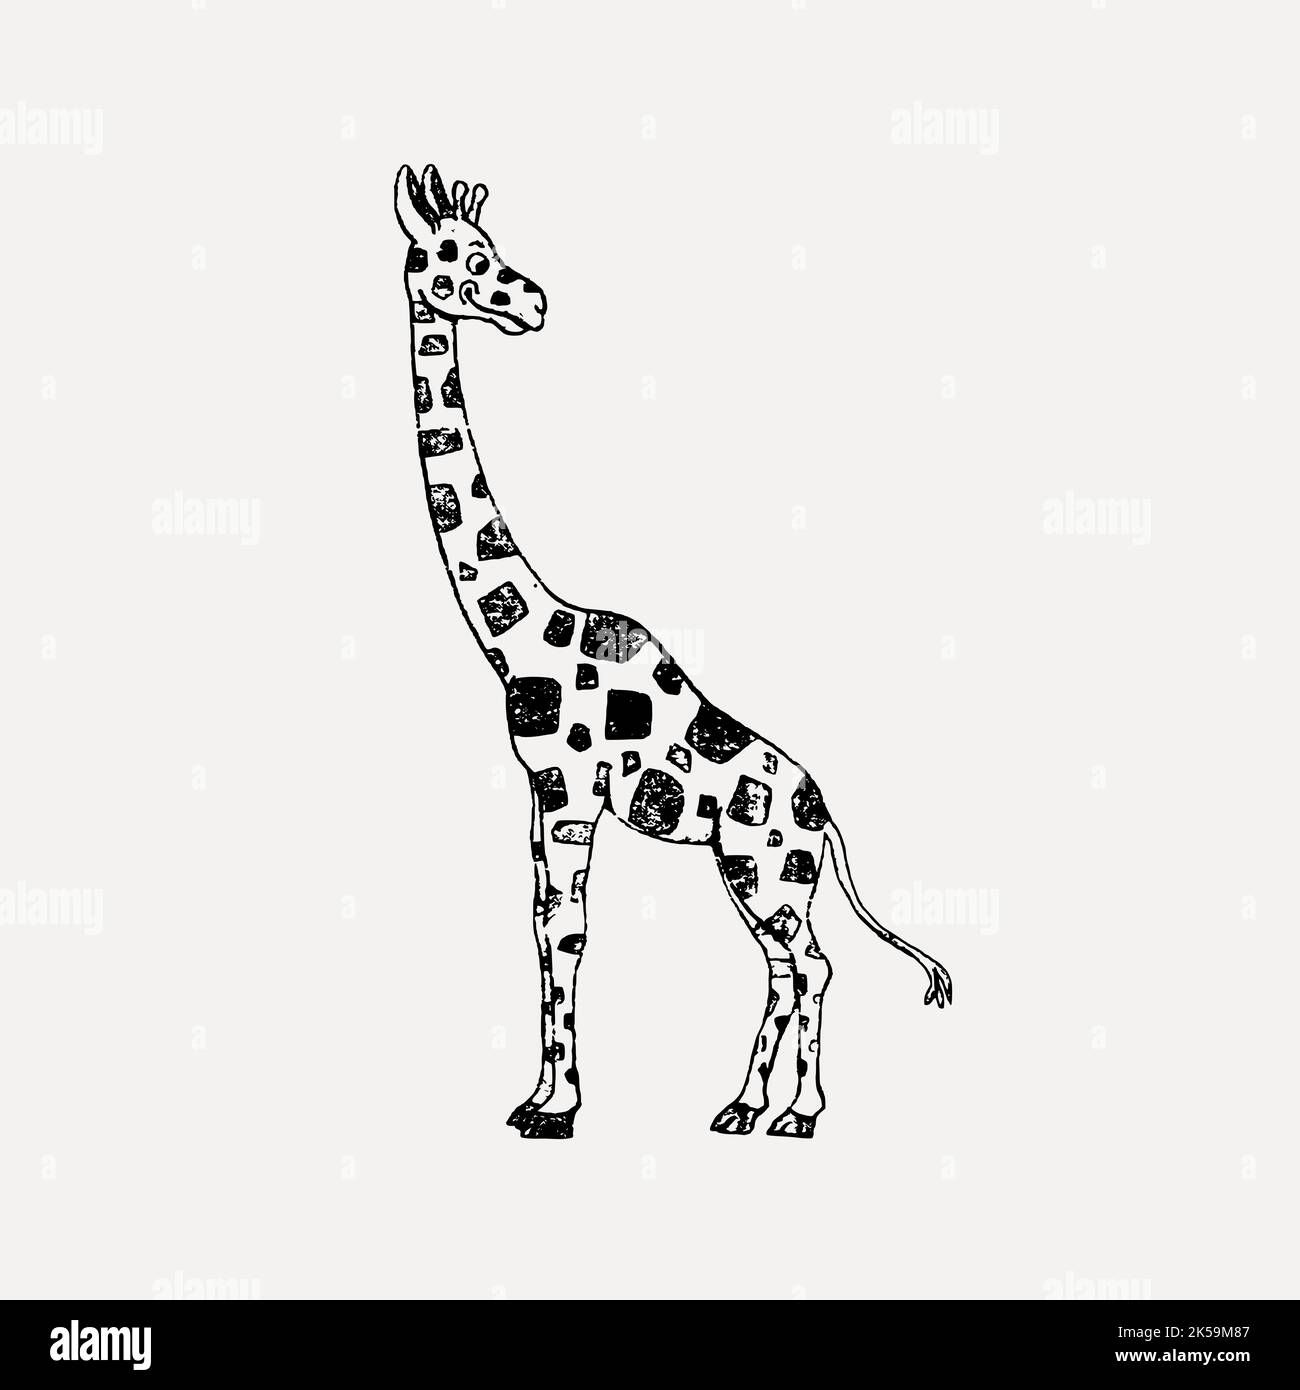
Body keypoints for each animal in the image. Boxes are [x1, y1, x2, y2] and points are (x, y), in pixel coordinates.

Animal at [393, 163, 953, 1140]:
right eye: (458, 255)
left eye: (486, 251)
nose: (532, 303)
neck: (522, 633)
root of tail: (824, 814)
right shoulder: (542, 792)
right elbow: (540, 926)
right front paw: (538, 1098)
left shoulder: (573, 789)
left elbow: (569, 932)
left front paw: (558, 1110)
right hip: (752, 872)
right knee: (786, 965)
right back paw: (741, 1108)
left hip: (767, 869)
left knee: (813, 963)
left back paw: (799, 1115)